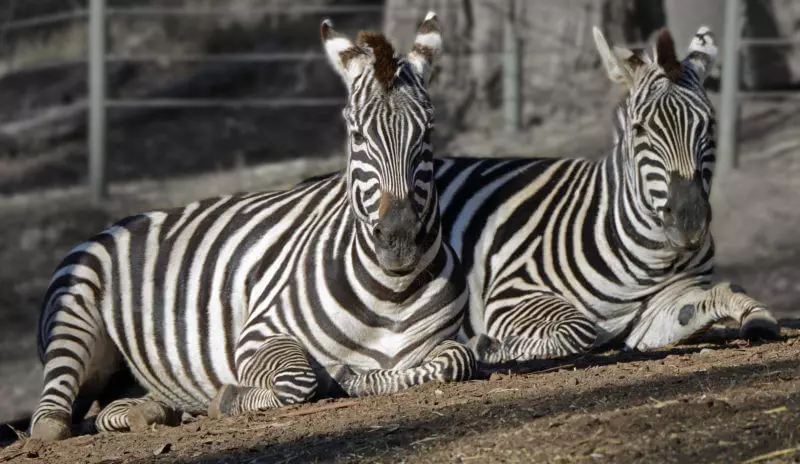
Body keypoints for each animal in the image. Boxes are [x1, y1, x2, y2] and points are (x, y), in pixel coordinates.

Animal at [29, 13, 476, 442]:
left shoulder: (446, 342)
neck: (390, 296)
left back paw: (154, 410)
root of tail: (114, 225)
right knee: (50, 421)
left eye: (428, 131)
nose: (399, 239)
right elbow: (300, 380)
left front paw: (355, 378)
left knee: (110, 408)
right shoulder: (258, 336)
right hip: (74, 322)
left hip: (119, 378)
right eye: (356, 134)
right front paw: (227, 399)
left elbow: (459, 360)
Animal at [434, 26, 780, 366]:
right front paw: (488, 347)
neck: (650, 259)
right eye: (639, 129)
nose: (690, 223)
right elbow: (578, 330)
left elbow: (729, 290)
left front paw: (755, 318)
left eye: (709, 125)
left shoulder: (659, 311)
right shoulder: (513, 290)